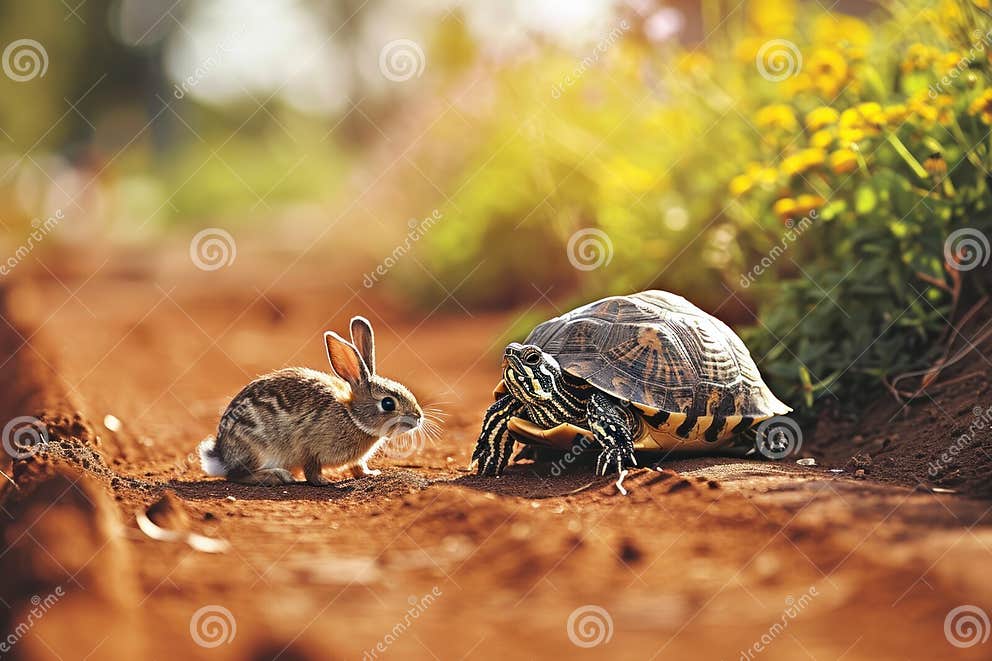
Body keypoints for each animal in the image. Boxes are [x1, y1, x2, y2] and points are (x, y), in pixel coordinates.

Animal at [198, 316, 423, 486]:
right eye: (388, 403)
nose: (418, 418)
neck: (352, 415)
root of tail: (220, 455)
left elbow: (358, 467)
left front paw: (371, 474)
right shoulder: (309, 449)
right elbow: (312, 471)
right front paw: (325, 482)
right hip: (257, 450)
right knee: (236, 475)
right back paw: (278, 476)